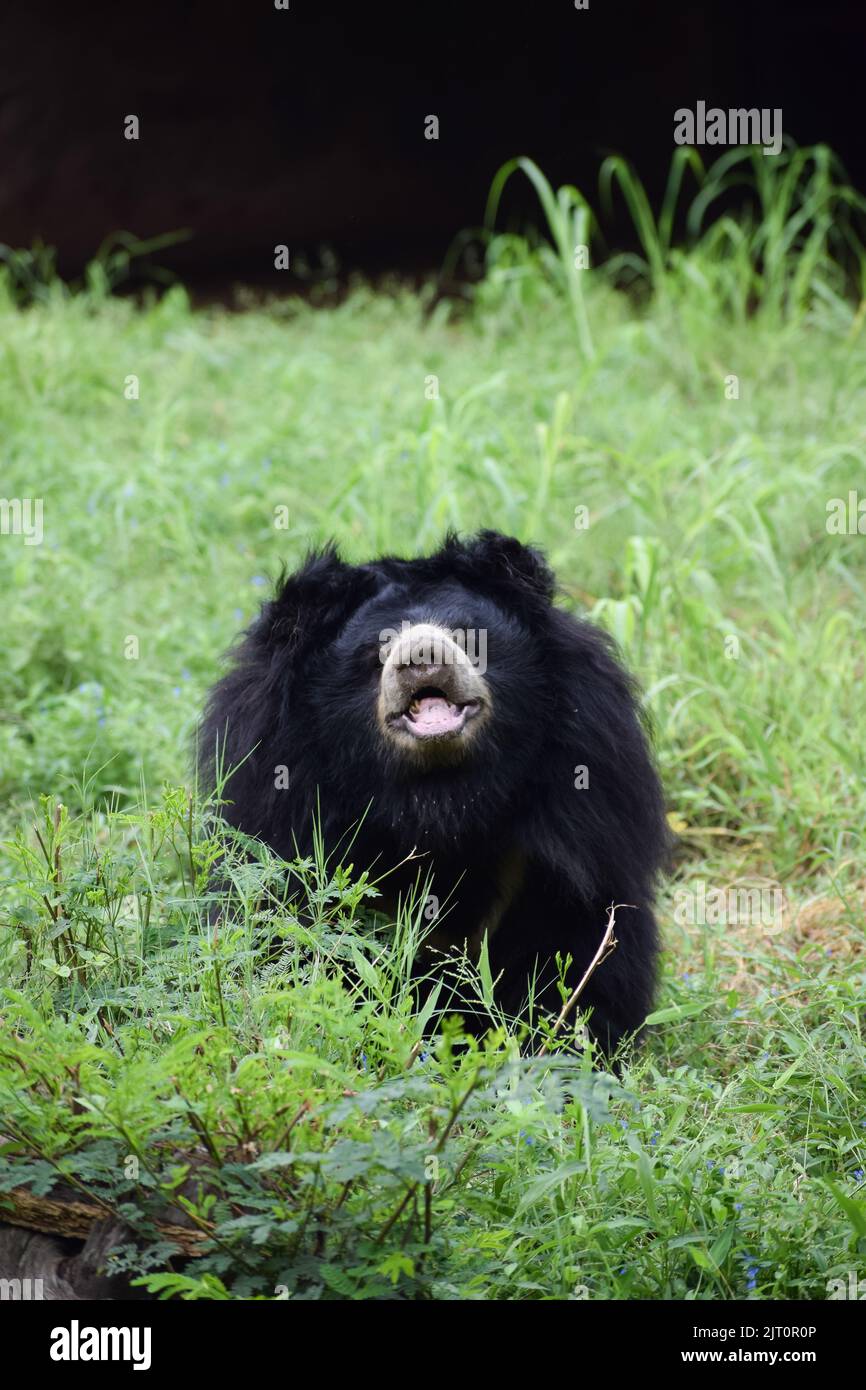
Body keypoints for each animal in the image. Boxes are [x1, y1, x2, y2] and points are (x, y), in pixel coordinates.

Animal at [198, 530, 669, 1057]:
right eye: (377, 652)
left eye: (466, 639)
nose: (422, 656)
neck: (440, 800)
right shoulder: (281, 805)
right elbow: (294, 935)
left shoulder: (579, 817)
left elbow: (578, 949)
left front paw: (573, 1047)